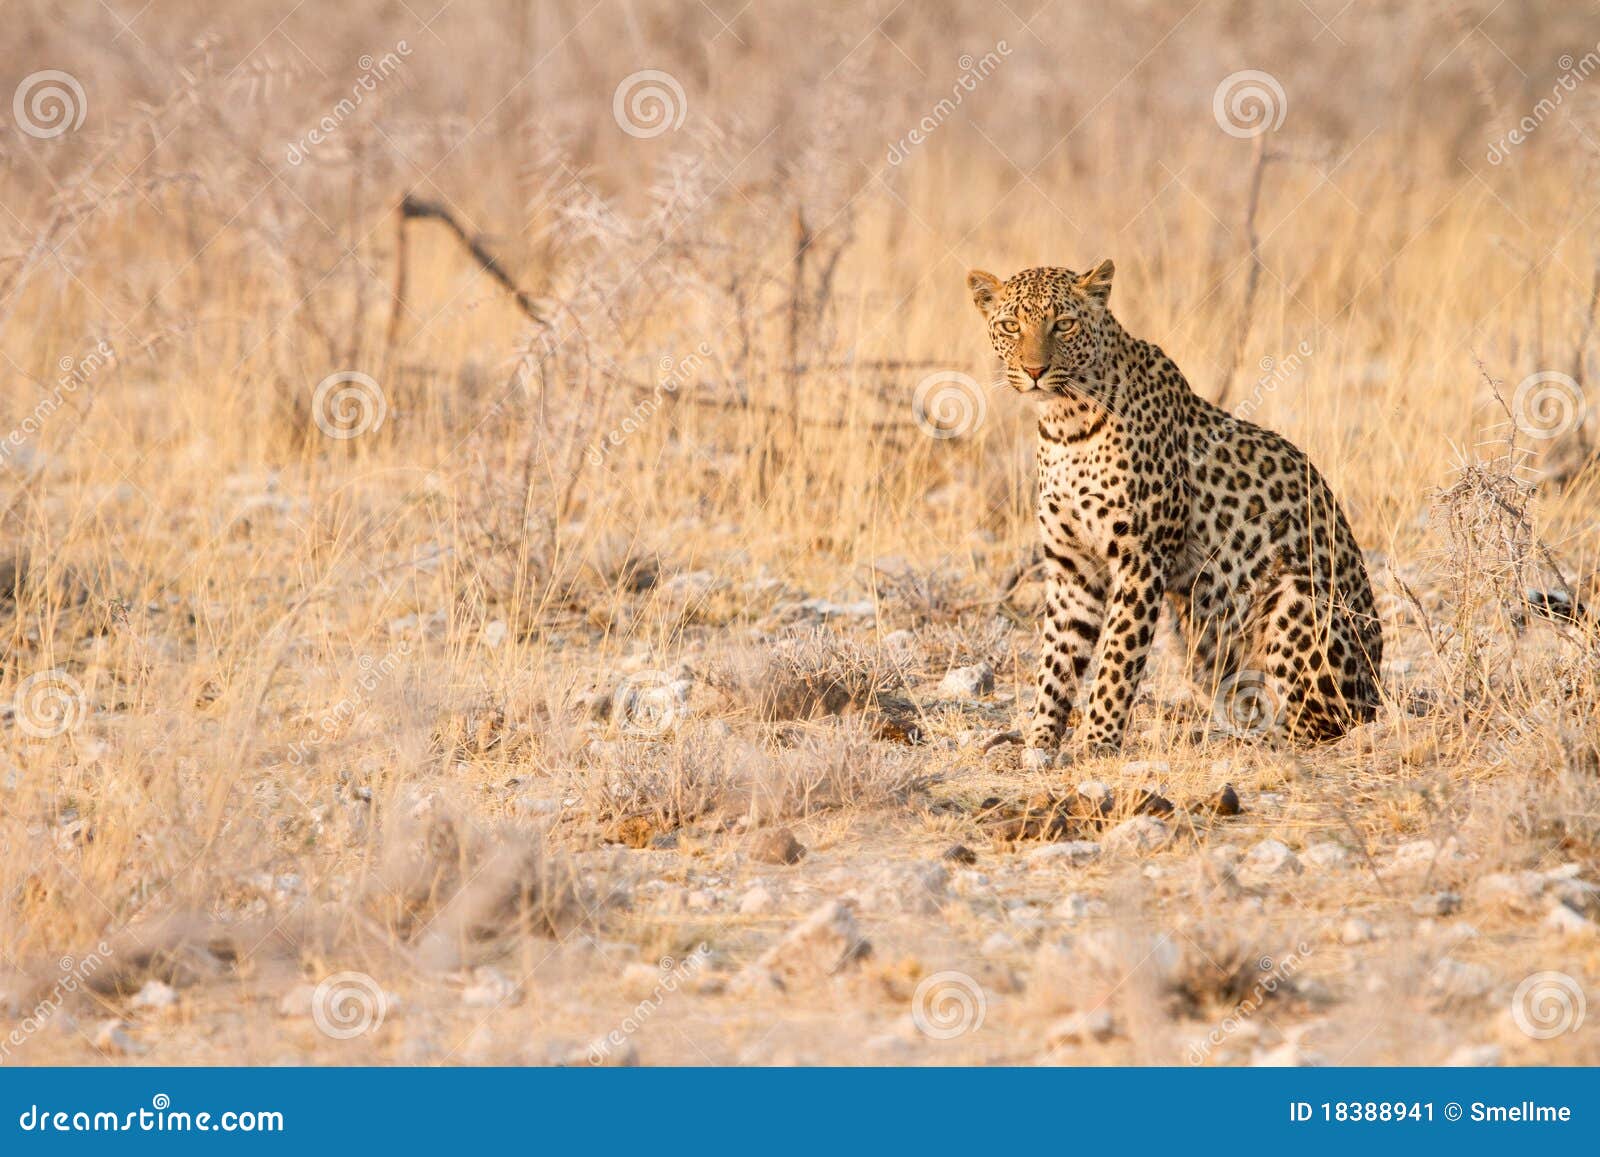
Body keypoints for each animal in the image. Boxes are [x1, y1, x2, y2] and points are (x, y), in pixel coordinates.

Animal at [967, 260, 1382, 761]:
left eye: (1063, 324)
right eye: (1011, 326)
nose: (1034, 370)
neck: (1065, 424)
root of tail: (1376, 687)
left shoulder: (1141, 558)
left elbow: (1117, 658)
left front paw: (1098, 741)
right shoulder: (1073, 568)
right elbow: (1057, 658)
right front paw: (1040, 739)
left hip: (1295, 600)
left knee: (1320, 723)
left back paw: (1239, 744)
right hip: (1202, 640)